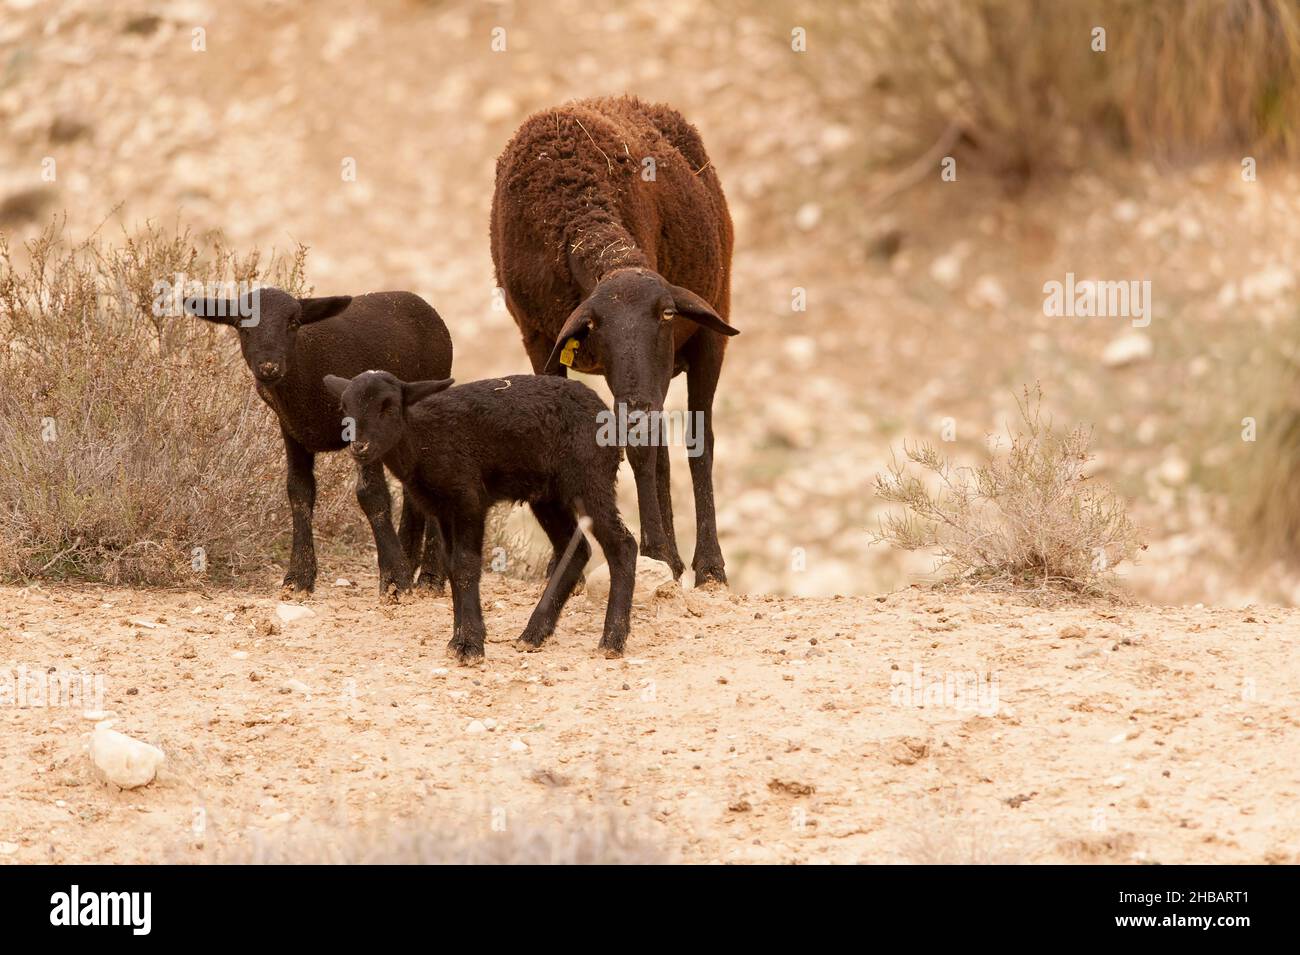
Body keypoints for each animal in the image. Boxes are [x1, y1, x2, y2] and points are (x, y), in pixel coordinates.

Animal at [183, 286, 452, 596]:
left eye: (294, 323)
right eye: (241, 325)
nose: (269, 367)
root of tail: (416, 299)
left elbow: (371, 495)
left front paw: (395, 579)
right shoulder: (292, 430)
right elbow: (299, 492)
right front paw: (298, 577)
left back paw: (431, 577)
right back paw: (410, 558)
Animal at [322, 371, 638, 664]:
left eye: (388, 407)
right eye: (345, 407)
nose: (359, 447)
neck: (422, 439)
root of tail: (603, 408)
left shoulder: (468, 500)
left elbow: (465, 565)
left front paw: (470, 644)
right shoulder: (442, 509)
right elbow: (451, 567)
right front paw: (459, 638)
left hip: (590, 479)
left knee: (622, 545)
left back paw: (612, 639)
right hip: (548, 495)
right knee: (576, 549)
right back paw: (534, 634)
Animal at [490, 95, 740, 587]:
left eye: (666, 313)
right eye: (597, 325)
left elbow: (651, 445)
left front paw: (655, 551)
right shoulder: (540, 340)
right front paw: (564, 564)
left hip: (707, 334)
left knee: (698, 445)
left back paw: (707, 565)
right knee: (661, 446)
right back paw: (676, 558)